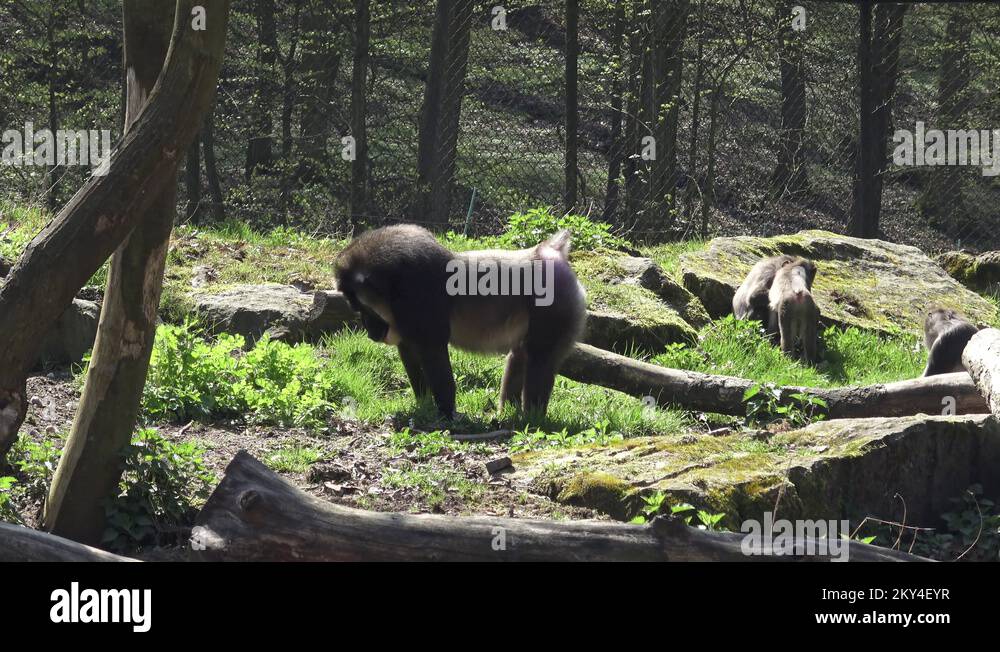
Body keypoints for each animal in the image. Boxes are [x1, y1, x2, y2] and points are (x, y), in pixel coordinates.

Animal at [335, 224, 587, 419]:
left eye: (365, 309)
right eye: (358, 309)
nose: (370, 332)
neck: (393, 284)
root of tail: (550, 253)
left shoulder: (421, 309)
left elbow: (436, 361)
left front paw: (446, 414)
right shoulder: (406, 331)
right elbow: (411, 358)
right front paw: (423, 406)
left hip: (555, 314)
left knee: (540, 359)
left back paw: (532, 418)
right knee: (520, 356)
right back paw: (507, 413)